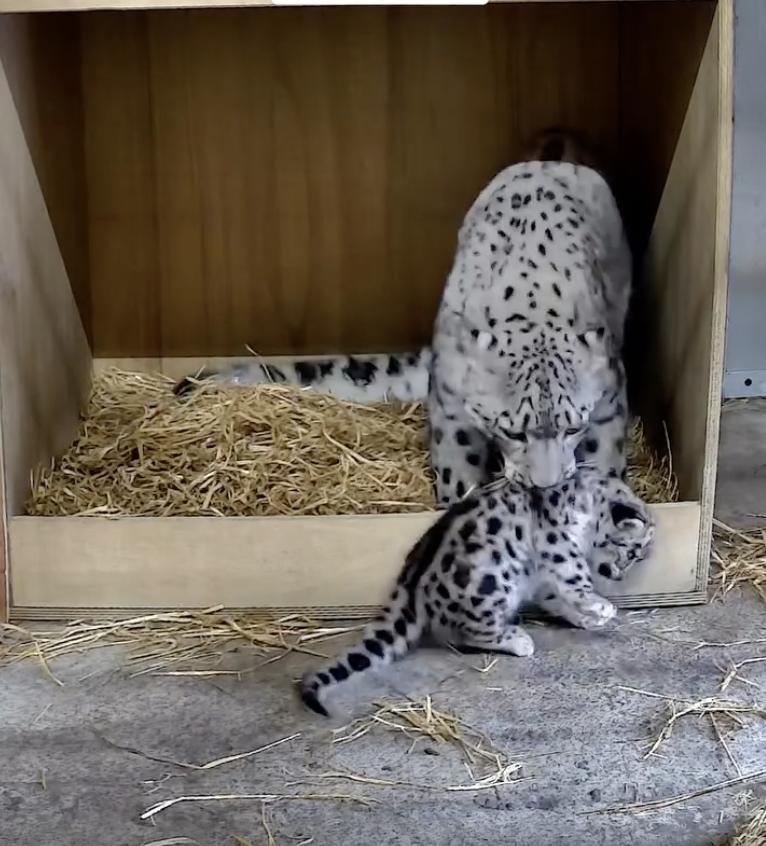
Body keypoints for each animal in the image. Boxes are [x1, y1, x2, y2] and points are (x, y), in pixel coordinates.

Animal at [300, 465, 655, 717]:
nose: (619, 575)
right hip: (492, 582)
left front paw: (589, 618)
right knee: (466, 631)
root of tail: (411, 587)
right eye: (630, 550)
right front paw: (602, 606)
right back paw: (518, 640)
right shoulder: (559, 547)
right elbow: (576, 578)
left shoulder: (543, 578)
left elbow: (557, 598)